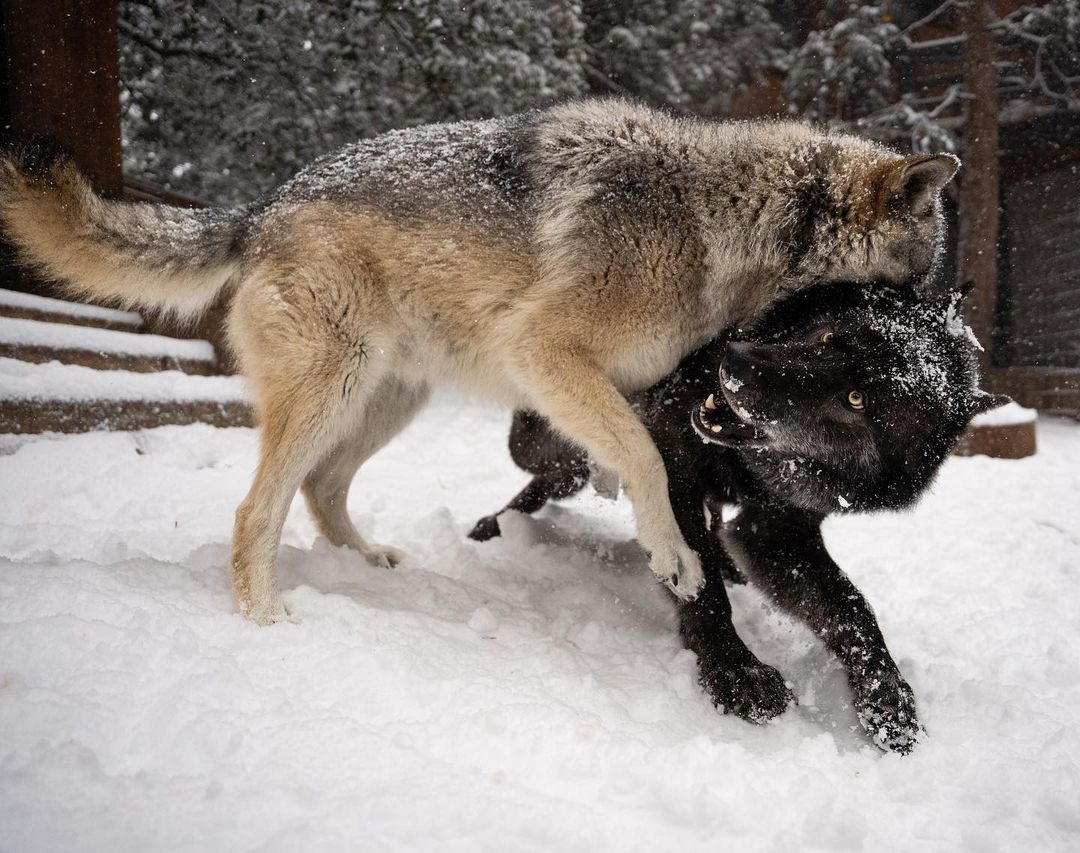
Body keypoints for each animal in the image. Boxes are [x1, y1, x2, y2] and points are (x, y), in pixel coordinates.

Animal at [0, 99, 959, 624]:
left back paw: (366, 562)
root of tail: (261, 207)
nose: (952, 330)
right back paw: (265, 614)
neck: (717, 226)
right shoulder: (544, 352)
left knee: (321, 490)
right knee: (254, 510)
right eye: (914, 279)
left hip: (385, 401)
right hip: (333, 391)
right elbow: (646, 461)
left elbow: (625, 456)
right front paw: (676, 558)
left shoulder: (614, 385)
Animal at [470, 281, 1008, 752]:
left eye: (857, 399)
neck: (751, 467)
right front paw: (735, 672)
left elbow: (853, 609)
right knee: (543, 470)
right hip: (549, 444)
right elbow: (702, 586)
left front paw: (889, 701)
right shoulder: (674, 467)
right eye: (828, 337)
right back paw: (496, 528)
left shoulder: (774, 531)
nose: (736, 359)